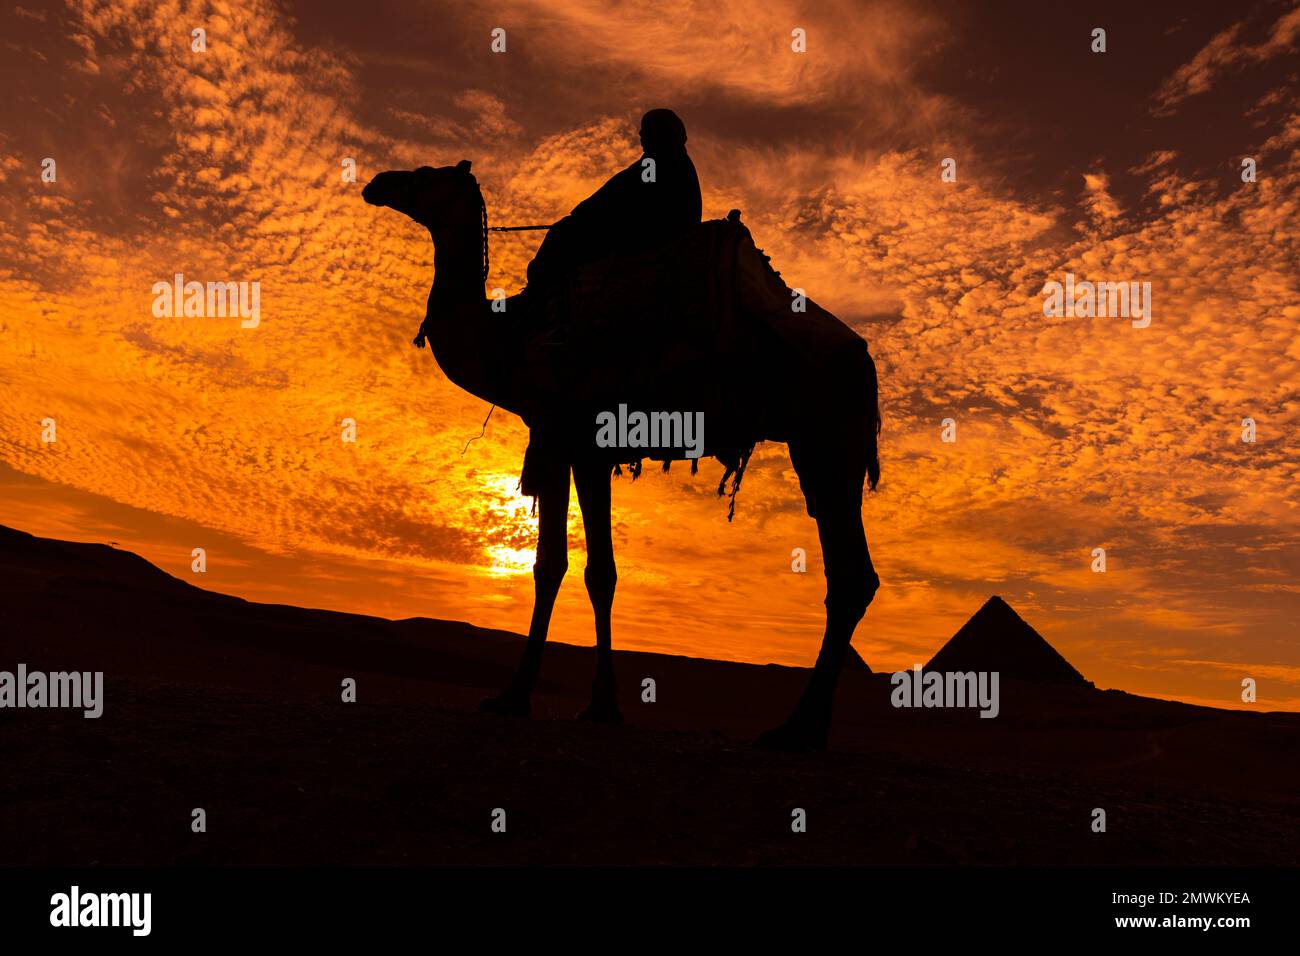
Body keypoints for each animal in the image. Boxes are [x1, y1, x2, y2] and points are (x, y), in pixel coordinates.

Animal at [362, 160, 881, 752]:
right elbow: (585, 569)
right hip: (822, 448)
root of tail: (864, 359)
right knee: (852, 575)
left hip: (826, 440)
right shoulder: (577, 445)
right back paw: (803, 726)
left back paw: (797, 728)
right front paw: (588, 703)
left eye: (425, 174)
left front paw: (528, 698)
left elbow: (569, 568)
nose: (377, 182)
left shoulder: (567, 434)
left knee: (849, 576)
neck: (508, 338)